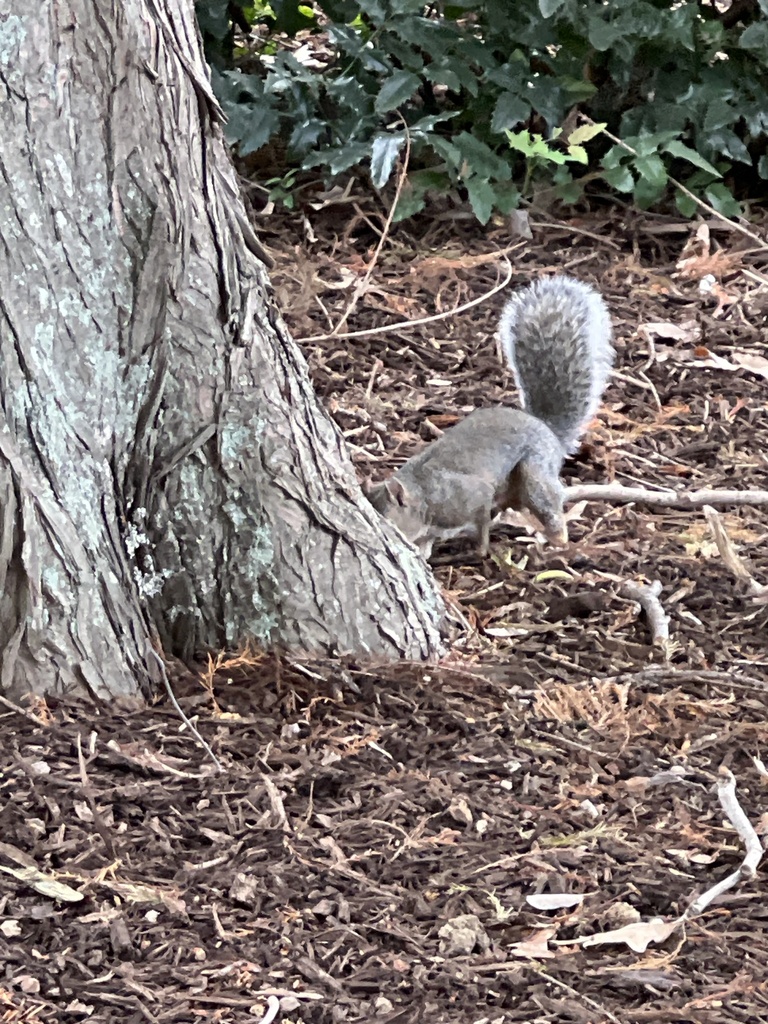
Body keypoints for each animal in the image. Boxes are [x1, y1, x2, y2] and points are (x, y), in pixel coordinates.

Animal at [366, 275, 614, 558]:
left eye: (390, 523)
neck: (425, 495)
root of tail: (546, 428)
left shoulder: (472, 496)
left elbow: (481, 524)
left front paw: (480, 550)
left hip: (535, 470)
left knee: (547, 505)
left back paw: (556, 539)